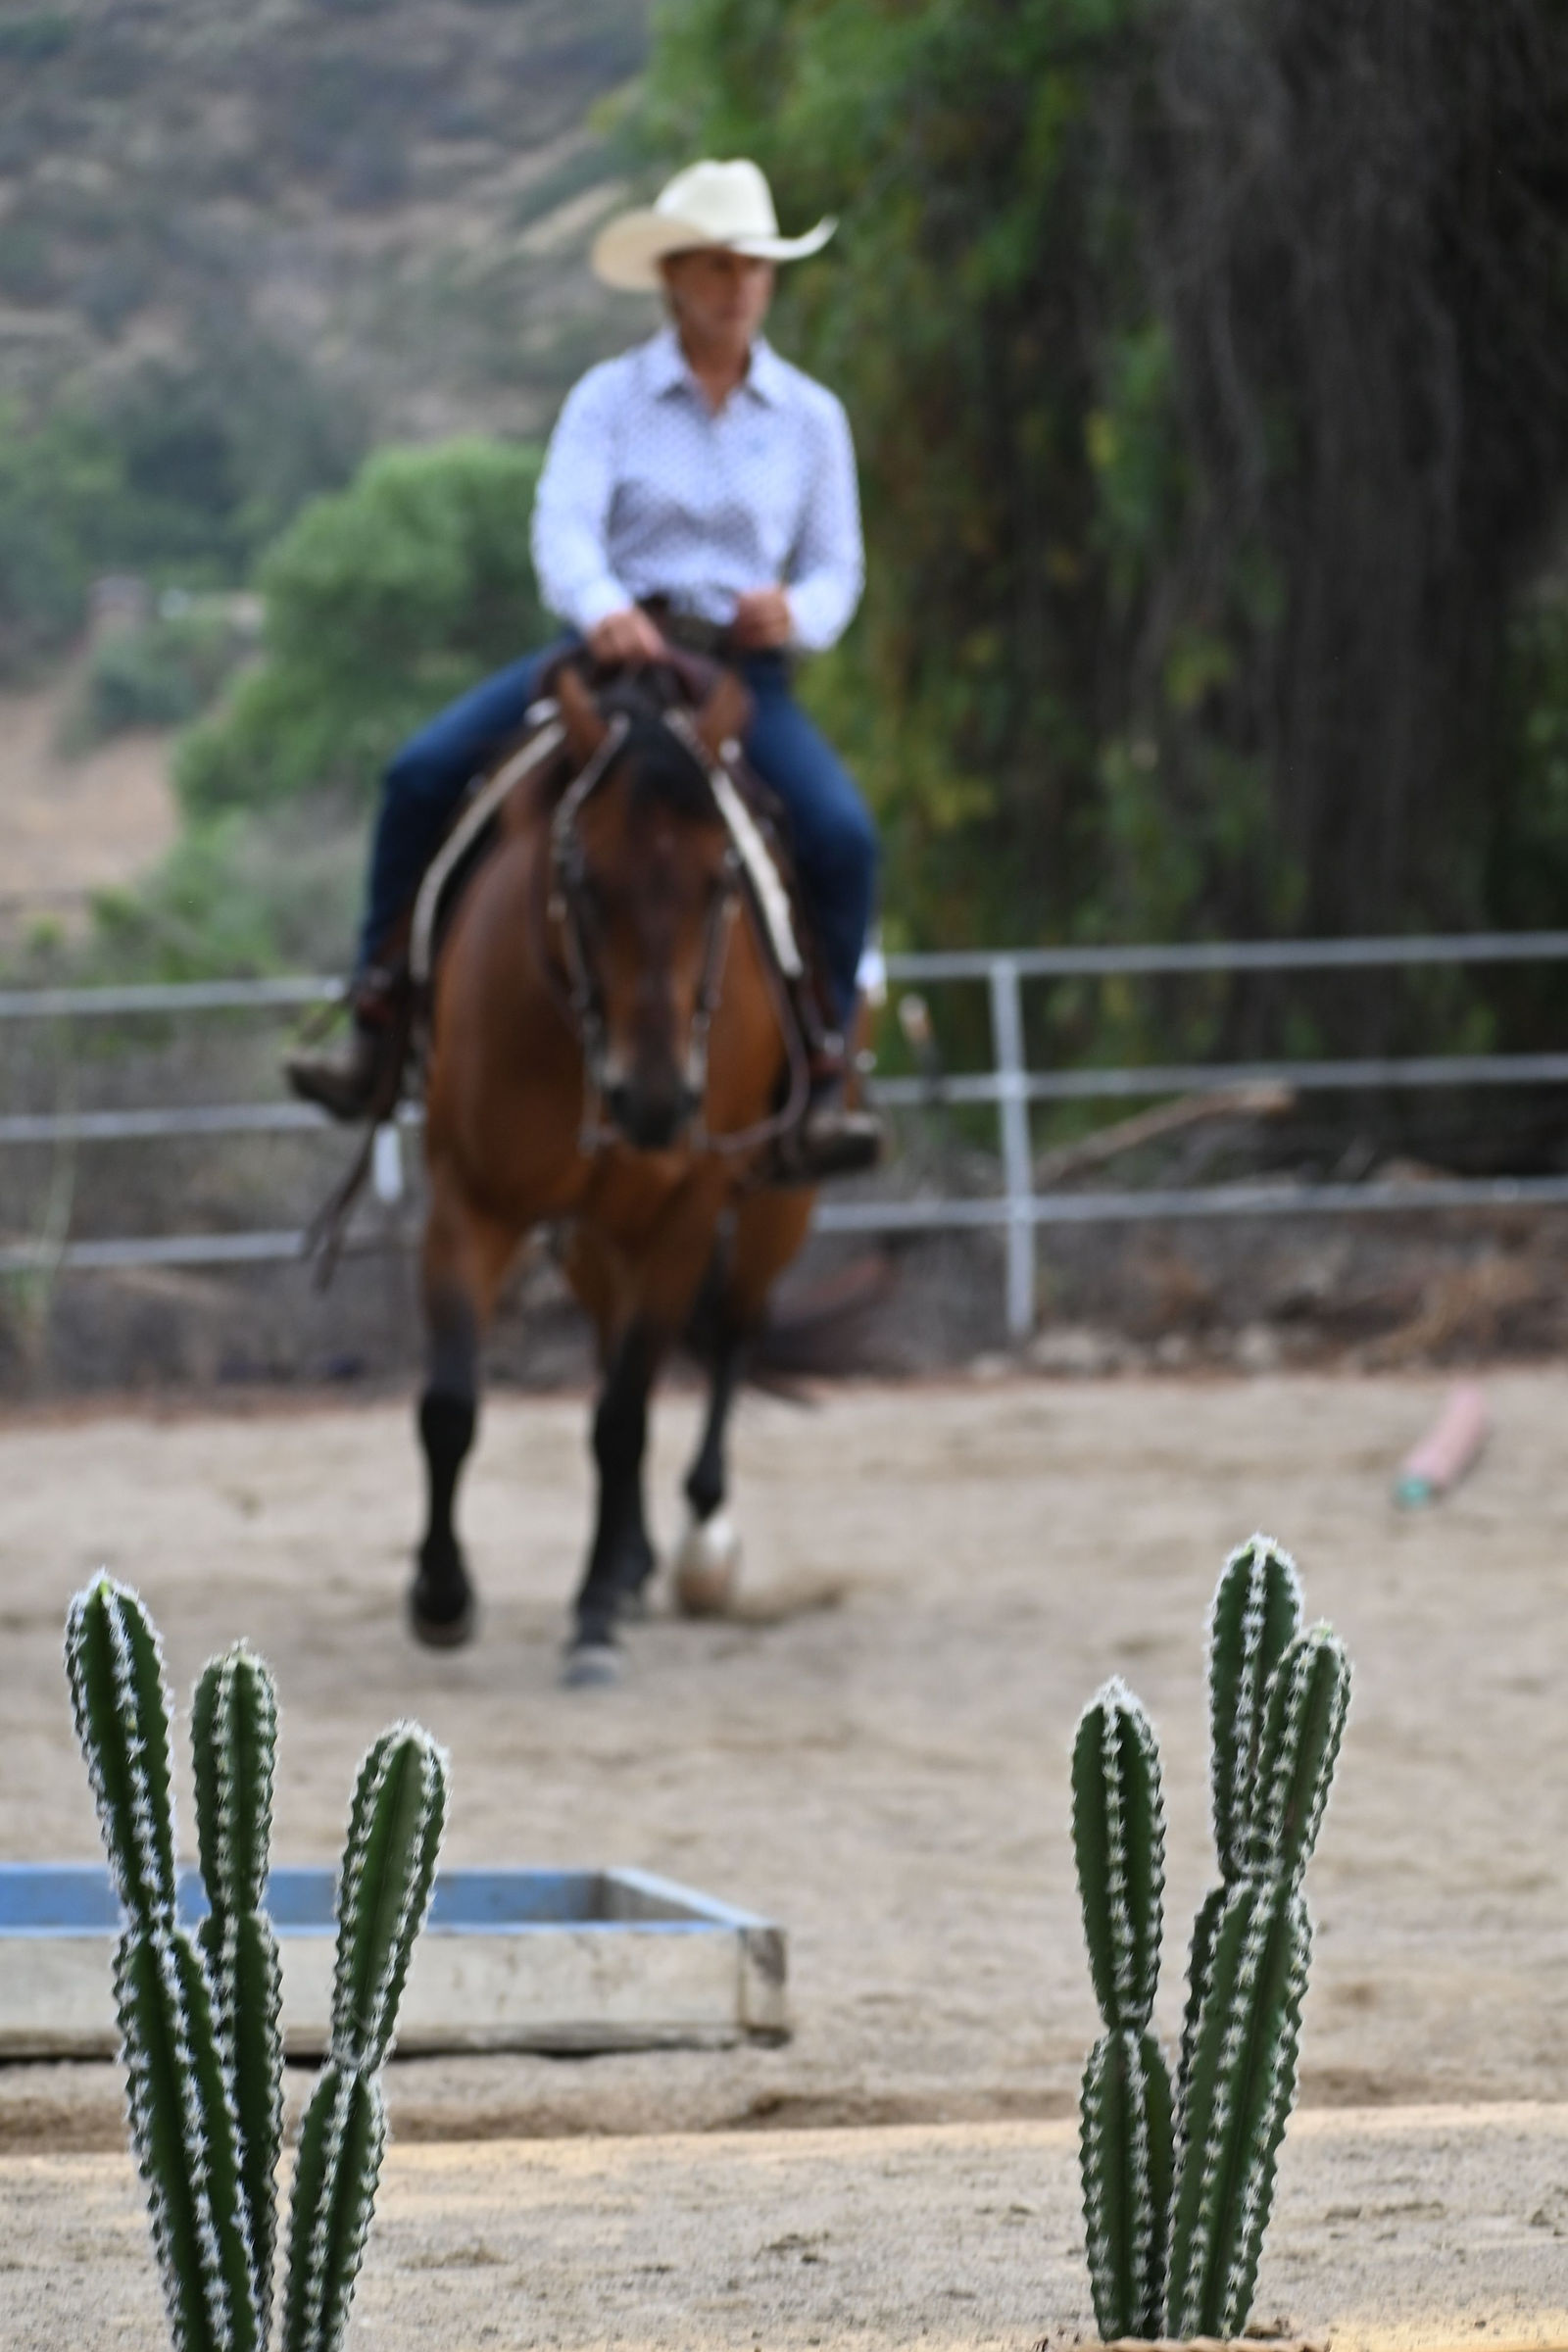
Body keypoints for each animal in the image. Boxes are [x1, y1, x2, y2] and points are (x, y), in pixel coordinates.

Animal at [410, 655, 818, 1683]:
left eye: (722, 880)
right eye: (584, 880)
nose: (657, 1100)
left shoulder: (687, 1212)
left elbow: (624, 1419)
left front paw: (592, 1615)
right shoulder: (467, 1200)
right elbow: (450, 1406)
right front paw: (441, 1596)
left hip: (776, 1201)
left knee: (731, 1335)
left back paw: (694, 1540)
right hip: (593, 1238)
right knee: (611, 1343)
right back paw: (633, 1560)